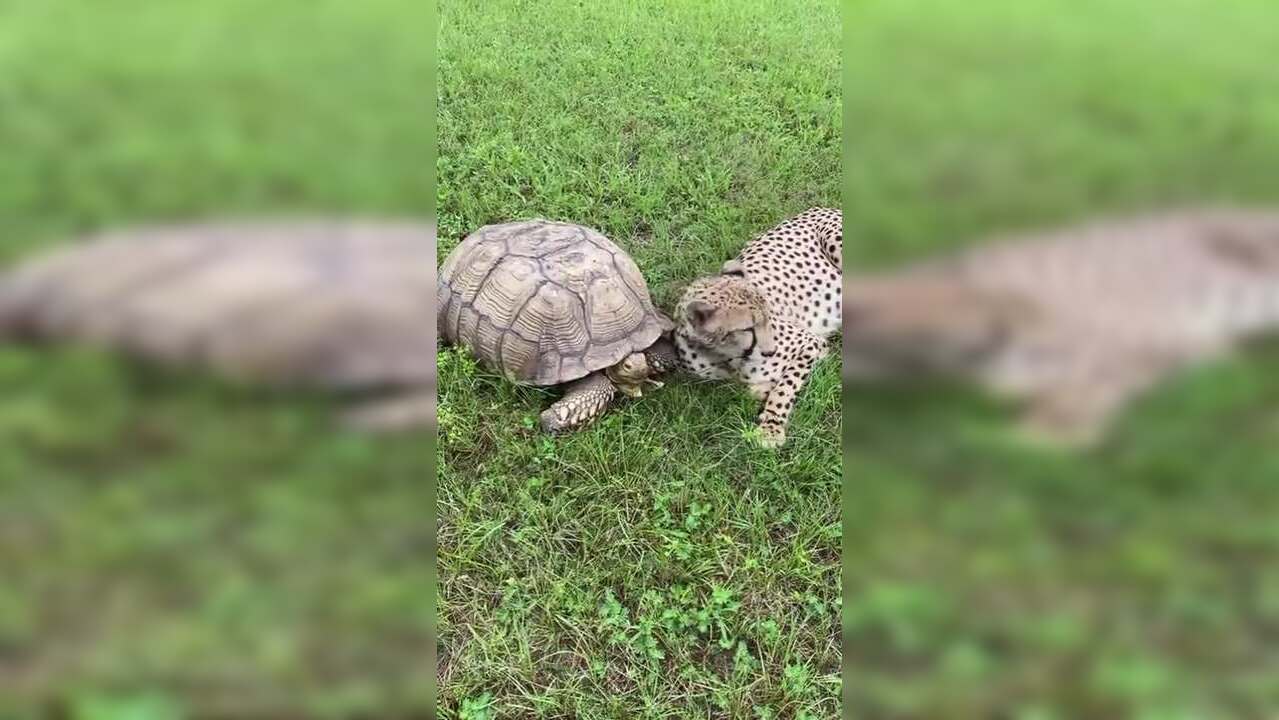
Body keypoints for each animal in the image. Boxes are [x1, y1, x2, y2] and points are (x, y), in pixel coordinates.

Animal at [674, 207, 843, 448]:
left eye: (767, 318)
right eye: (748, 328)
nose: (770, 351)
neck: (728, 358)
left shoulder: (811, 343)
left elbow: (784, 387)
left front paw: (771, 428)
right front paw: (760, 389)